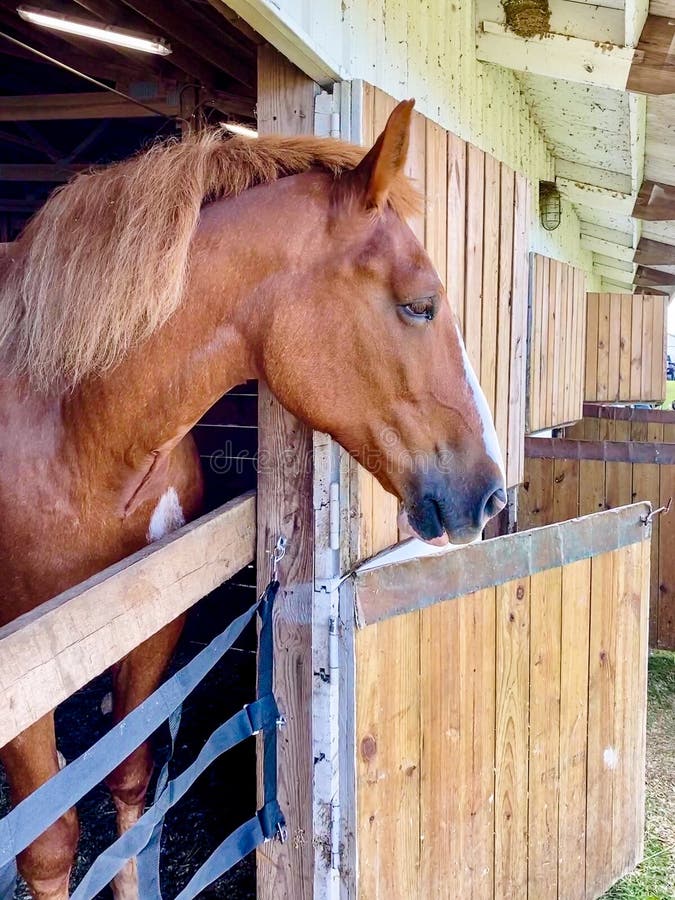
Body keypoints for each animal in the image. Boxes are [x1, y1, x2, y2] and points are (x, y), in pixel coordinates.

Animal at [0, 99, 506, 900]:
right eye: (420, 305)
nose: (488, 494)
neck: (70, 423)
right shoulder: (26, 670)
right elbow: (49, 847)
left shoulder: (151, 622)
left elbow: (131, 788)